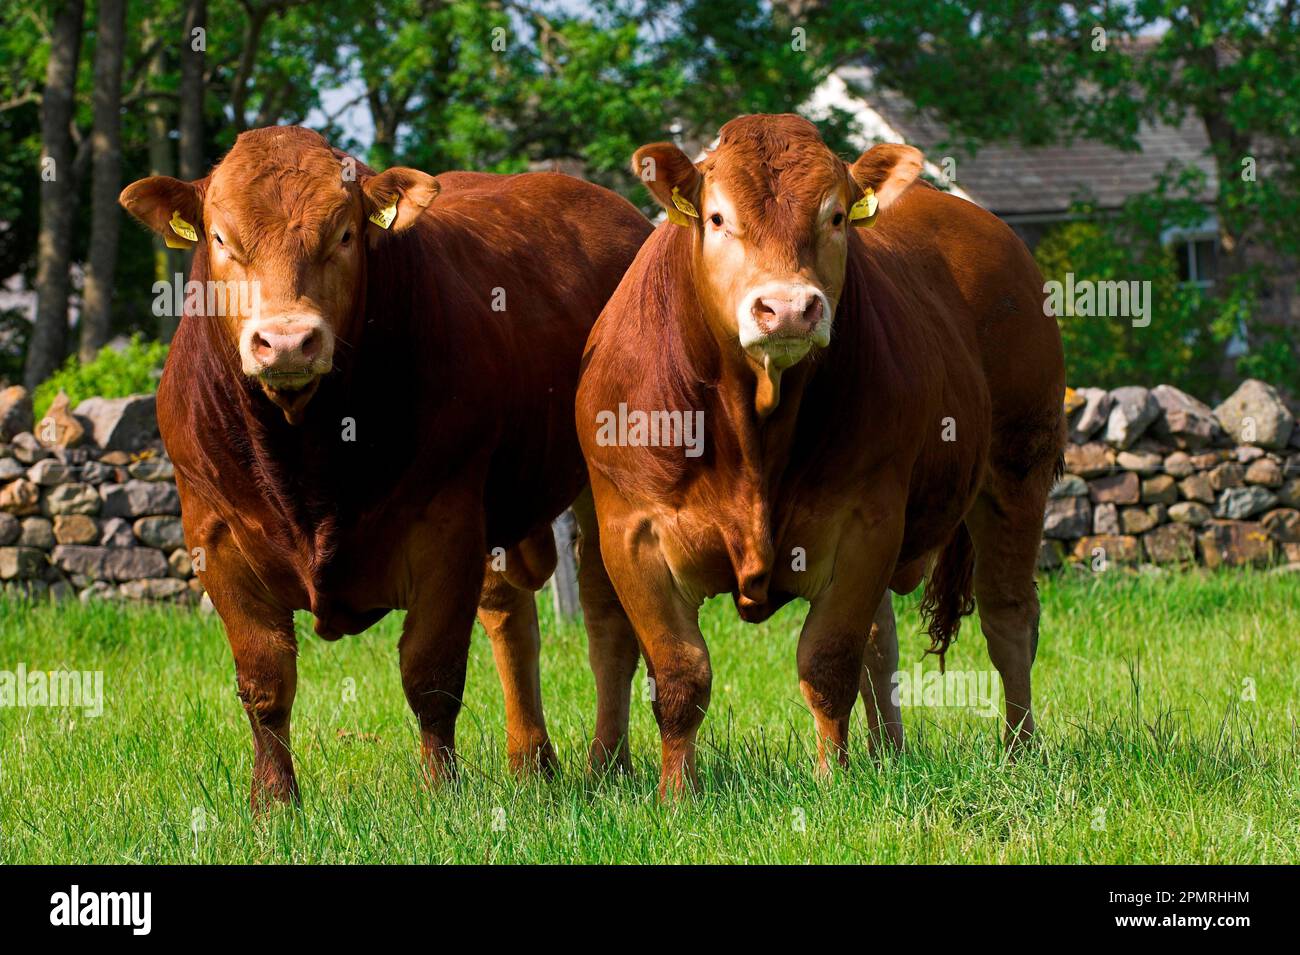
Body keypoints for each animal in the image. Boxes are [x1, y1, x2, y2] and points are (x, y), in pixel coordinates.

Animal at [119, 126, 652, 808]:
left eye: (344, 234)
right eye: (219, 238)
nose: (287, 342)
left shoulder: (446, 523)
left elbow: (431, 673)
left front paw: (441, 792)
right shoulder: (213, 535)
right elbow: (265, 683)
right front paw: (274, 805)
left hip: (597, 478)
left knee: (607, 618)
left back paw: (607, 764)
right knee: (511, 615)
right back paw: (532, 763)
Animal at [575, 114, 1066, 796]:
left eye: (835, 217)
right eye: (718, 217)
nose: (787, 308)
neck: (755, 423)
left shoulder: (865, 523)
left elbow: (828, 663)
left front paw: (832, 780)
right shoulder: (631, 531)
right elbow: (679, 675)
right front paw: (678, 795)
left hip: (1019, 470)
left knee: (1009, 617)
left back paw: (1019, 749)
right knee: (883, 641)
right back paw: (889, 752)